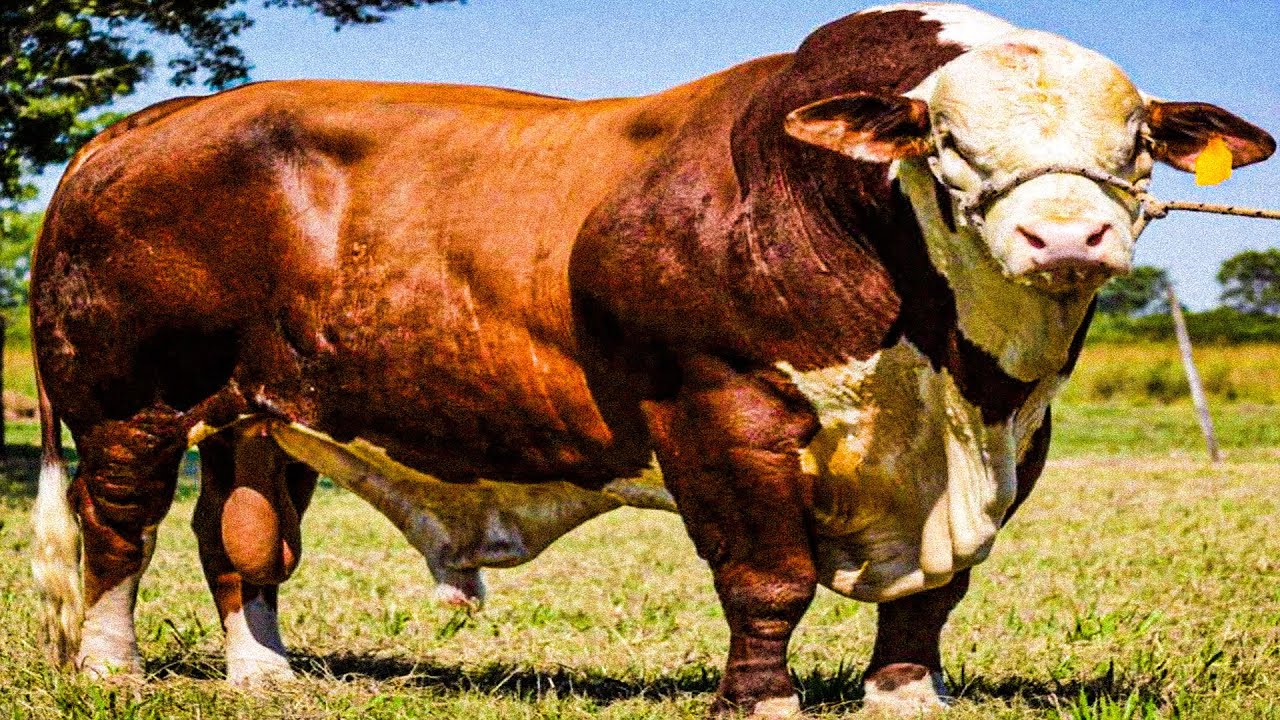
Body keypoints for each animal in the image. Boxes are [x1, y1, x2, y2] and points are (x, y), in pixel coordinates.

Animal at [29, 3, 1274, 717]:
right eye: (949, 141)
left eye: (1133, 143)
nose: (1067, 236)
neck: (945, 387)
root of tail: (141, 126)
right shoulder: (718, 407)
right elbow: (763, 580)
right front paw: (760, 704)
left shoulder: (1019, 435)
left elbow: (935, 590)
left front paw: (904, 695)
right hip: (130, 401)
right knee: (120, 527)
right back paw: (109, 669)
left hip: (262, 413)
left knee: (242, 538)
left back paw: (263, 673)